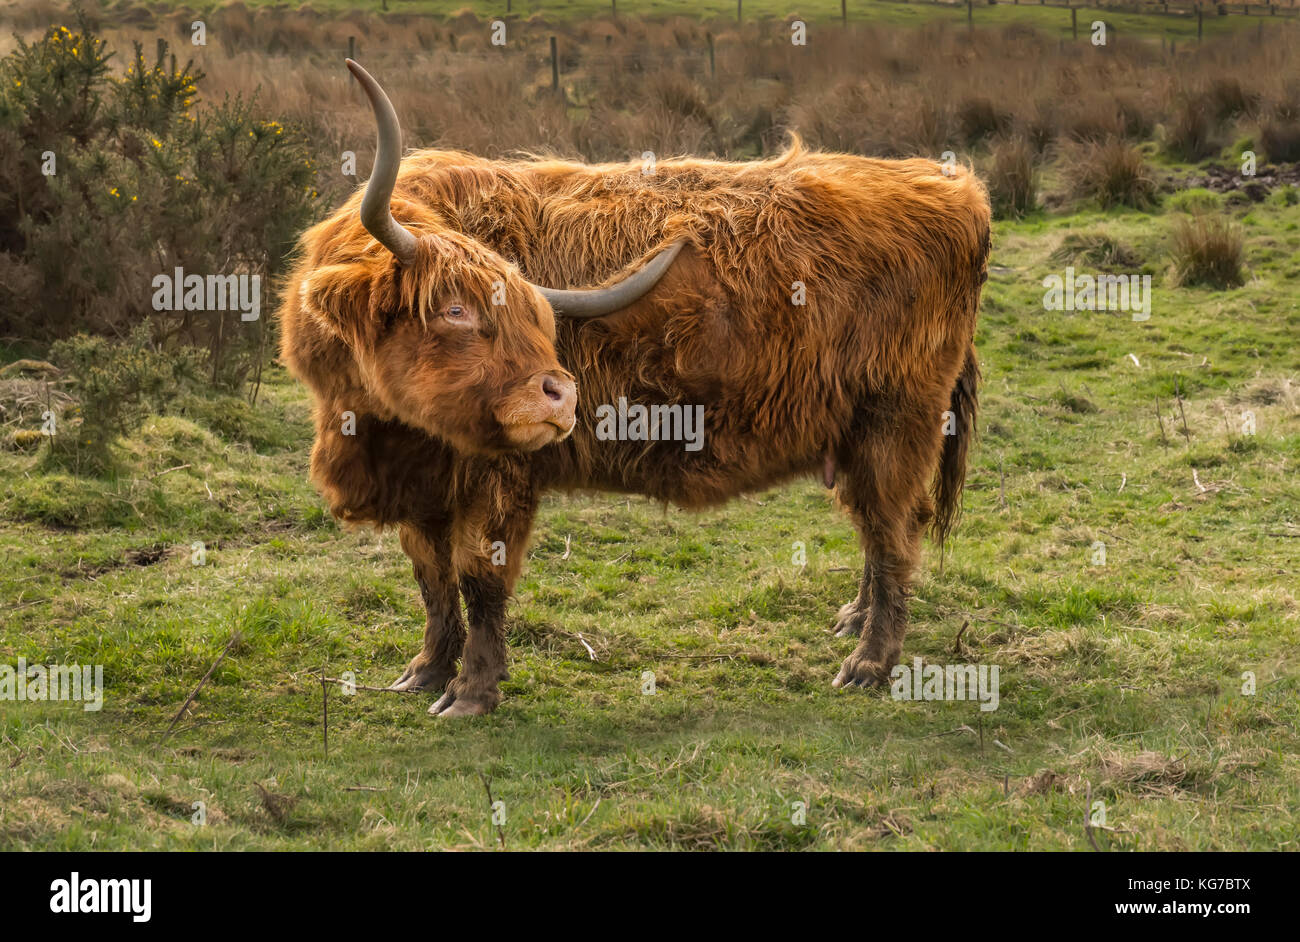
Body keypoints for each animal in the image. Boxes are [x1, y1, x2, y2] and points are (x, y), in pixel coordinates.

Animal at [278, 61, 990, 716]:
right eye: (454, 310)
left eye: (540, 322)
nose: (562, 395)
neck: (385, 435)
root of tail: (951, 185)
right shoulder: (424, 488)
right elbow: (431, 578)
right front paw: (425, 670)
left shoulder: (500, 477)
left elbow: (479, 577)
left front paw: (472, 691)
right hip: (852, 433)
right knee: (872, 526)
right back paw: (852, 618)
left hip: (896, 420)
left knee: (894, 530)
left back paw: (869, 662)